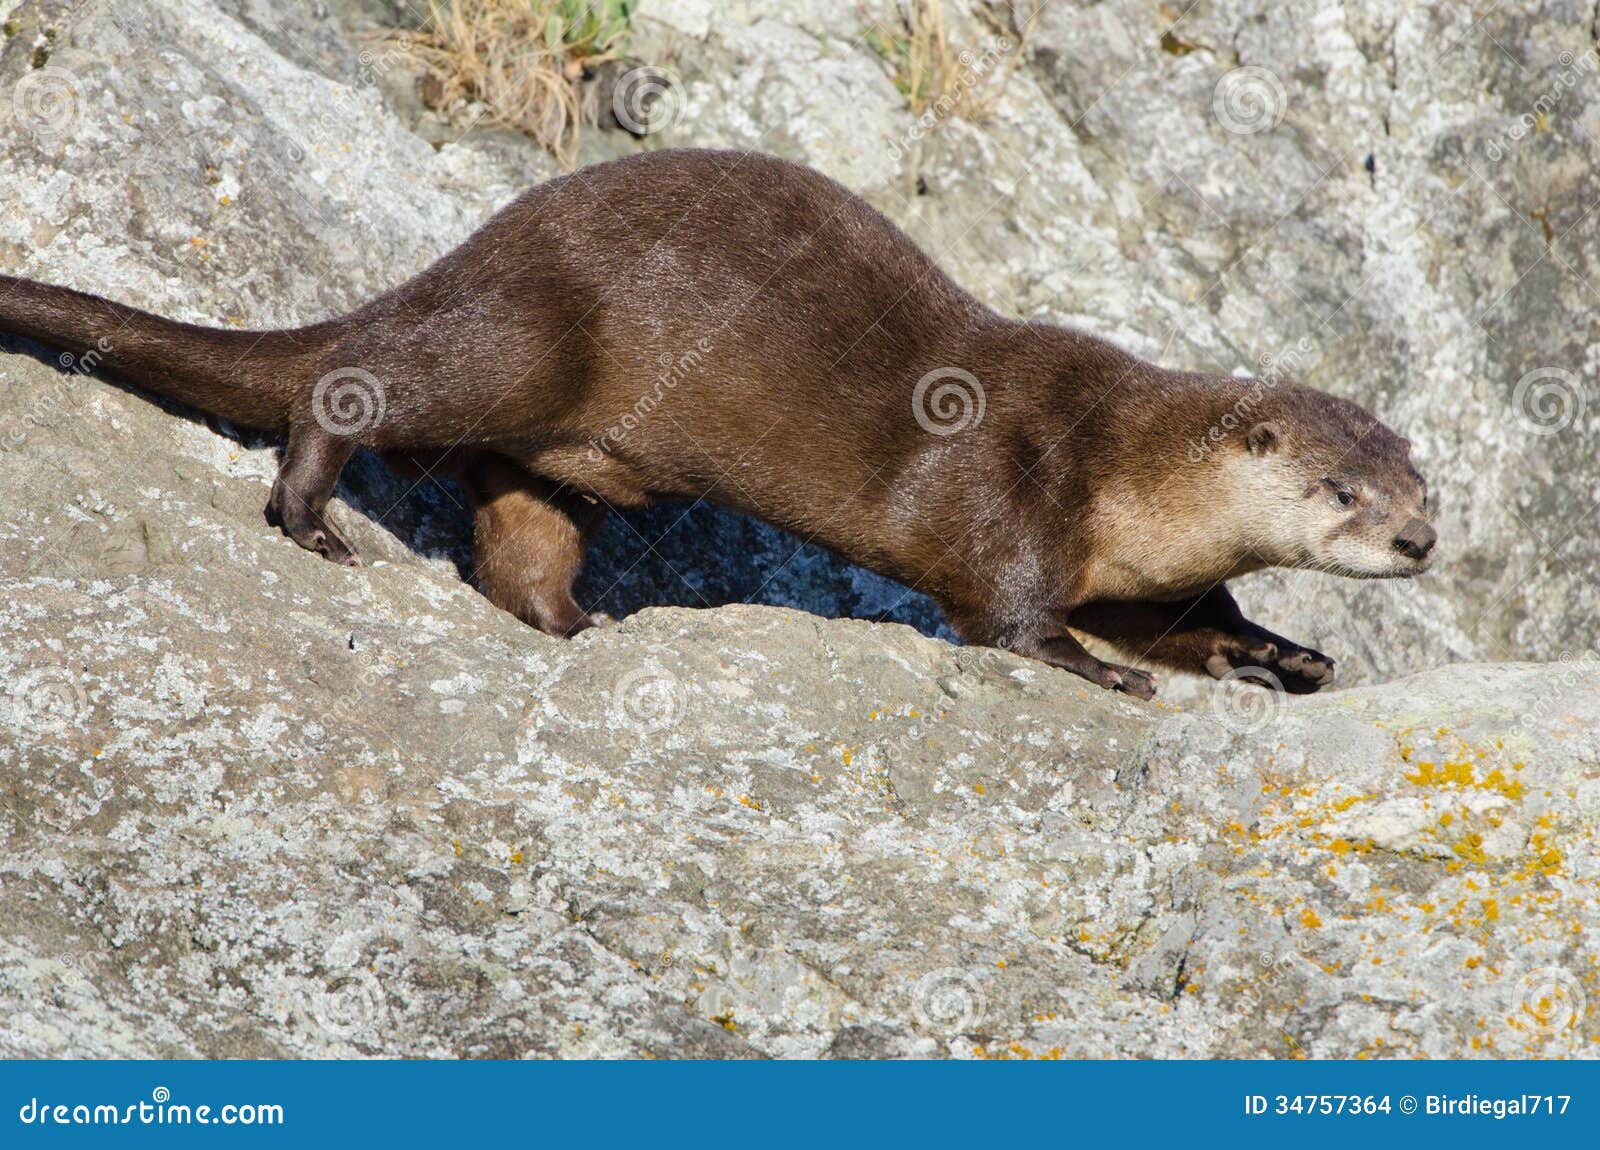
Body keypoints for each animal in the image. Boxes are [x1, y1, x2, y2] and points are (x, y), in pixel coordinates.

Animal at [0, 148, 1435, 698]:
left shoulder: (1142, 564)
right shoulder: (1017, 477)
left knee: (517, 544)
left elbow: (1184, 619)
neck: (1121, 476)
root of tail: (470, 254)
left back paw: (577, 625)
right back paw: (307, 511)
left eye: (1423, 485)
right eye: (1340, 489)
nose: (1416, 544)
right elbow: (1006, 610)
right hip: (527, 338)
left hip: (553, 453)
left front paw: (1276, 654)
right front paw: (1090, 666)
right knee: (349, 380)